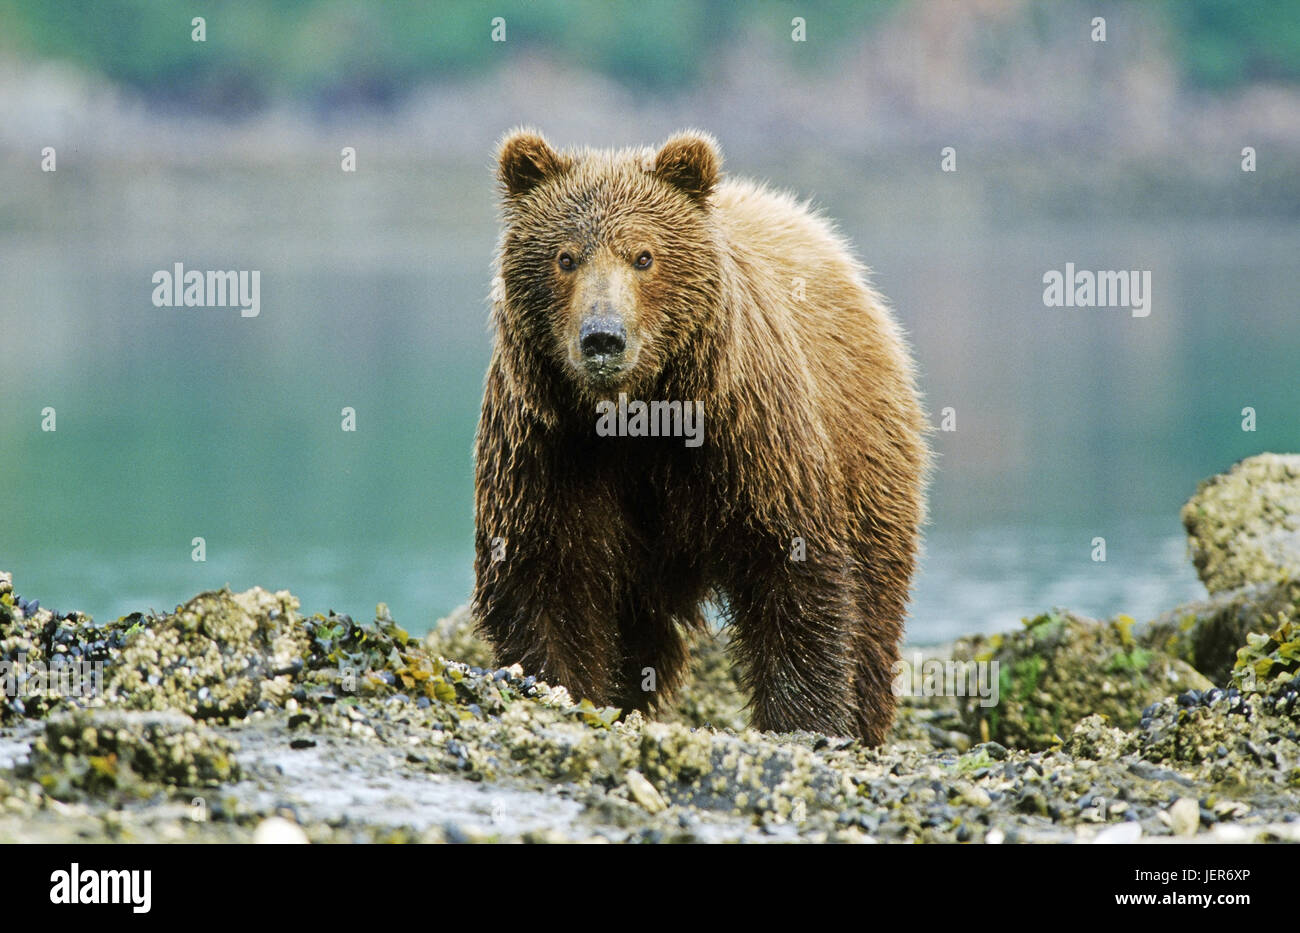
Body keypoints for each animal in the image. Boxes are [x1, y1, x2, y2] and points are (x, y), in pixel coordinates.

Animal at [473, 128, 929, 745]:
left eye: (644, 256)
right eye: (565, 257)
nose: (602, 338)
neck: (637, 418)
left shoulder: (749, 439)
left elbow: (794, 571)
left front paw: (805, 720)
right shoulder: (549, 451)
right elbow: (546, 578)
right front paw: (559, 688)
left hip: (867, 454)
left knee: (875, 596)